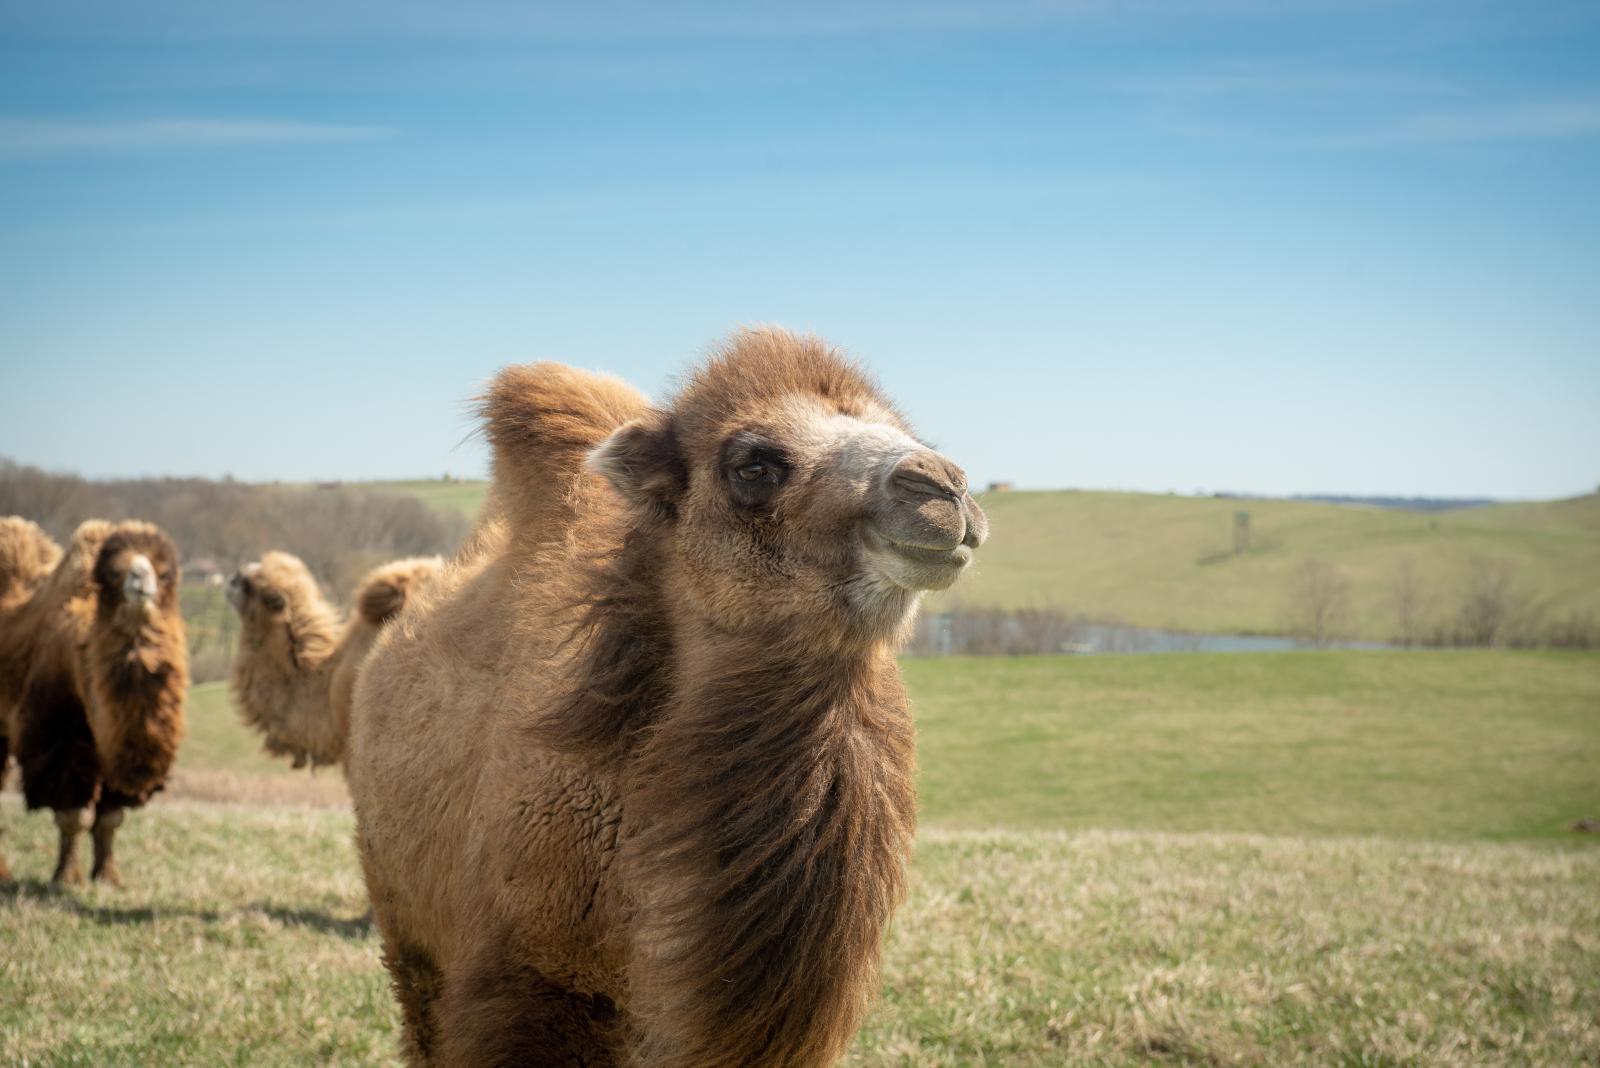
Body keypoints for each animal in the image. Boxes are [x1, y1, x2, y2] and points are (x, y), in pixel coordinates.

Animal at [0, 518, 188, 886]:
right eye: (114, 573)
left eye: (164, 573)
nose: (141, 580)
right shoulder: (60, 742)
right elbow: (73, 817)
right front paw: (66, 877)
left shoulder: (115, 750)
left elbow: (109, 819)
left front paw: (108, 876)